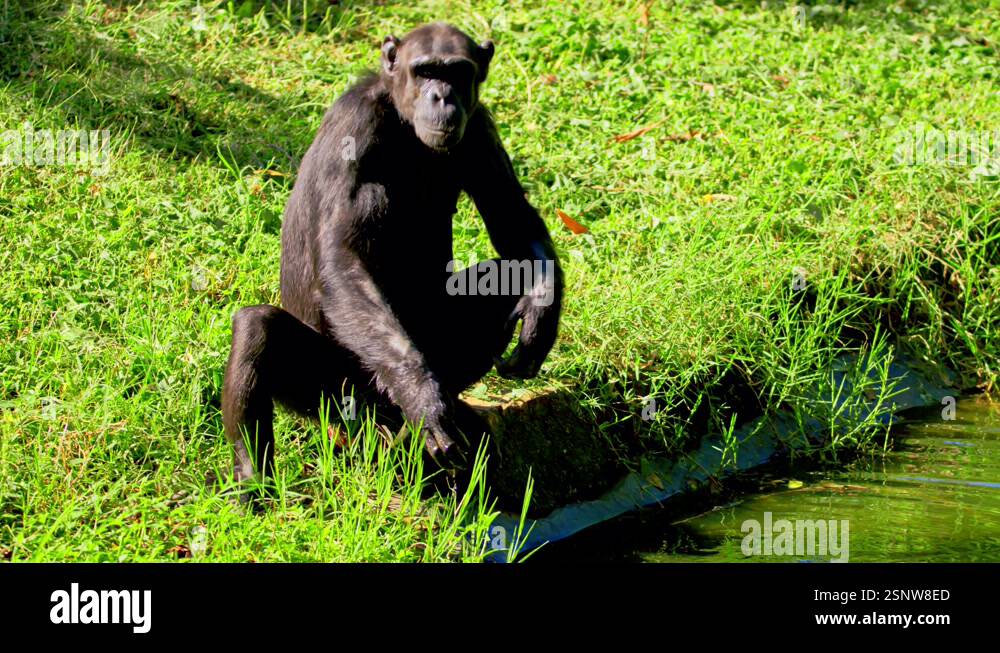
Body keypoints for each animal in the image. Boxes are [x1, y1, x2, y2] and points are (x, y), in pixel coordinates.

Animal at [222, 22, 562, 494]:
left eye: (457, 72)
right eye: (424, 71)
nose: (442, 95)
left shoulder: (480, 126)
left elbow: (512, 219)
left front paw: (543, 314)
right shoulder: (356, 122)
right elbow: (342, 258)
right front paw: (421, 396)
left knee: (505, 278)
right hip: (338, 394)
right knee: (259, 327)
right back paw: (254, 478)